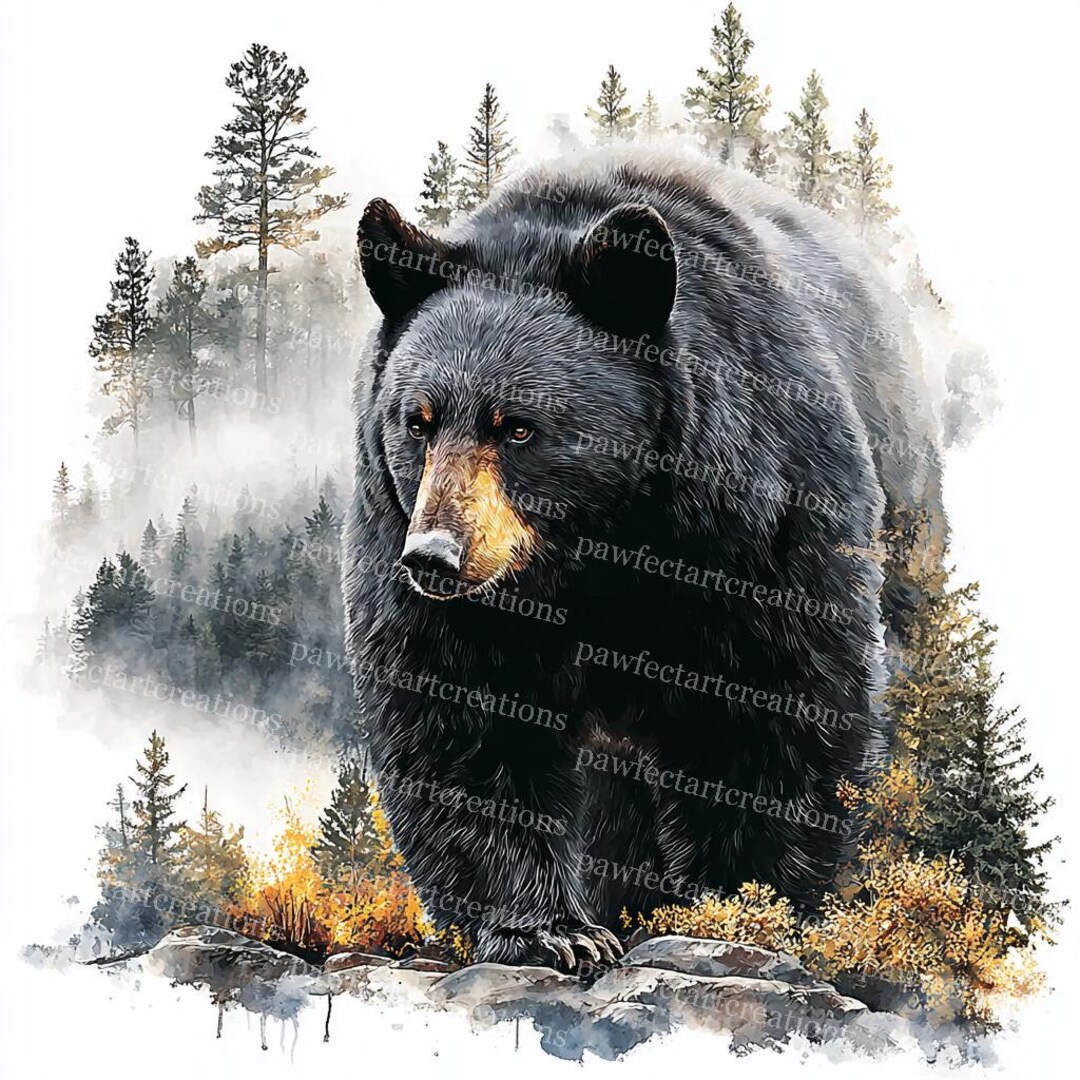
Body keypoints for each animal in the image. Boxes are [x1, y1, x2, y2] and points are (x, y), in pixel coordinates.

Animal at [343, 149, 943, 970]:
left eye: (518, 427)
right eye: (418, 421)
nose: (436, 557)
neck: (596, 550)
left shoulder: (756, 518)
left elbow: (773, 702)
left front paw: (739, 907)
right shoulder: (405, 536)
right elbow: (460, 713)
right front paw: (547, 931)